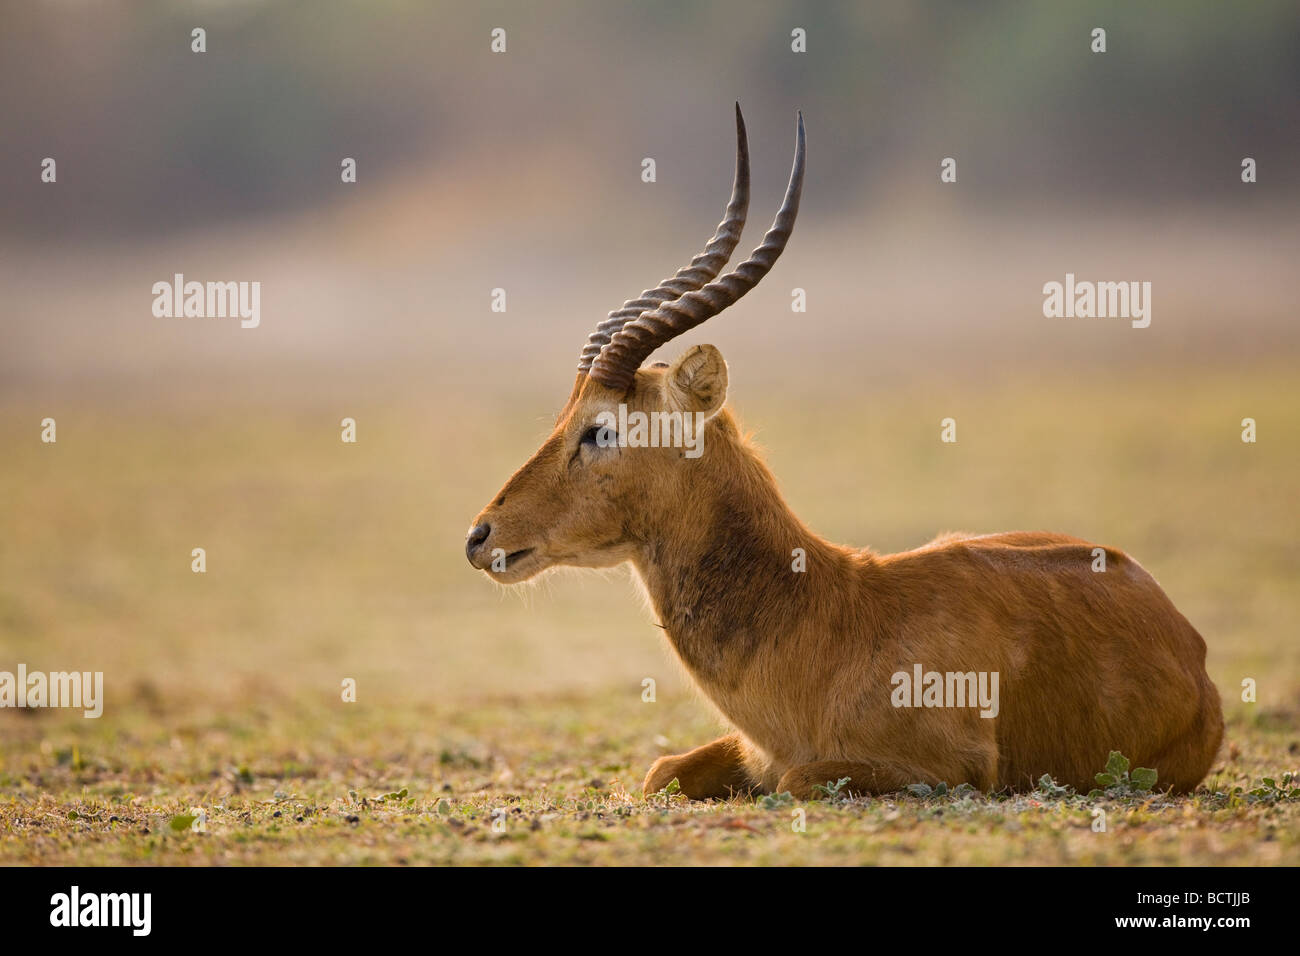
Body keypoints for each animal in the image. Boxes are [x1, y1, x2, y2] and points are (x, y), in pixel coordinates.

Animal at [465, 106, 1224, 800]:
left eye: (601, 430)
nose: (481, 535)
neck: (828, 618)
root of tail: (1192, 643)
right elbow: (660, 772)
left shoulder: (939, 770)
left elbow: (798, 778)